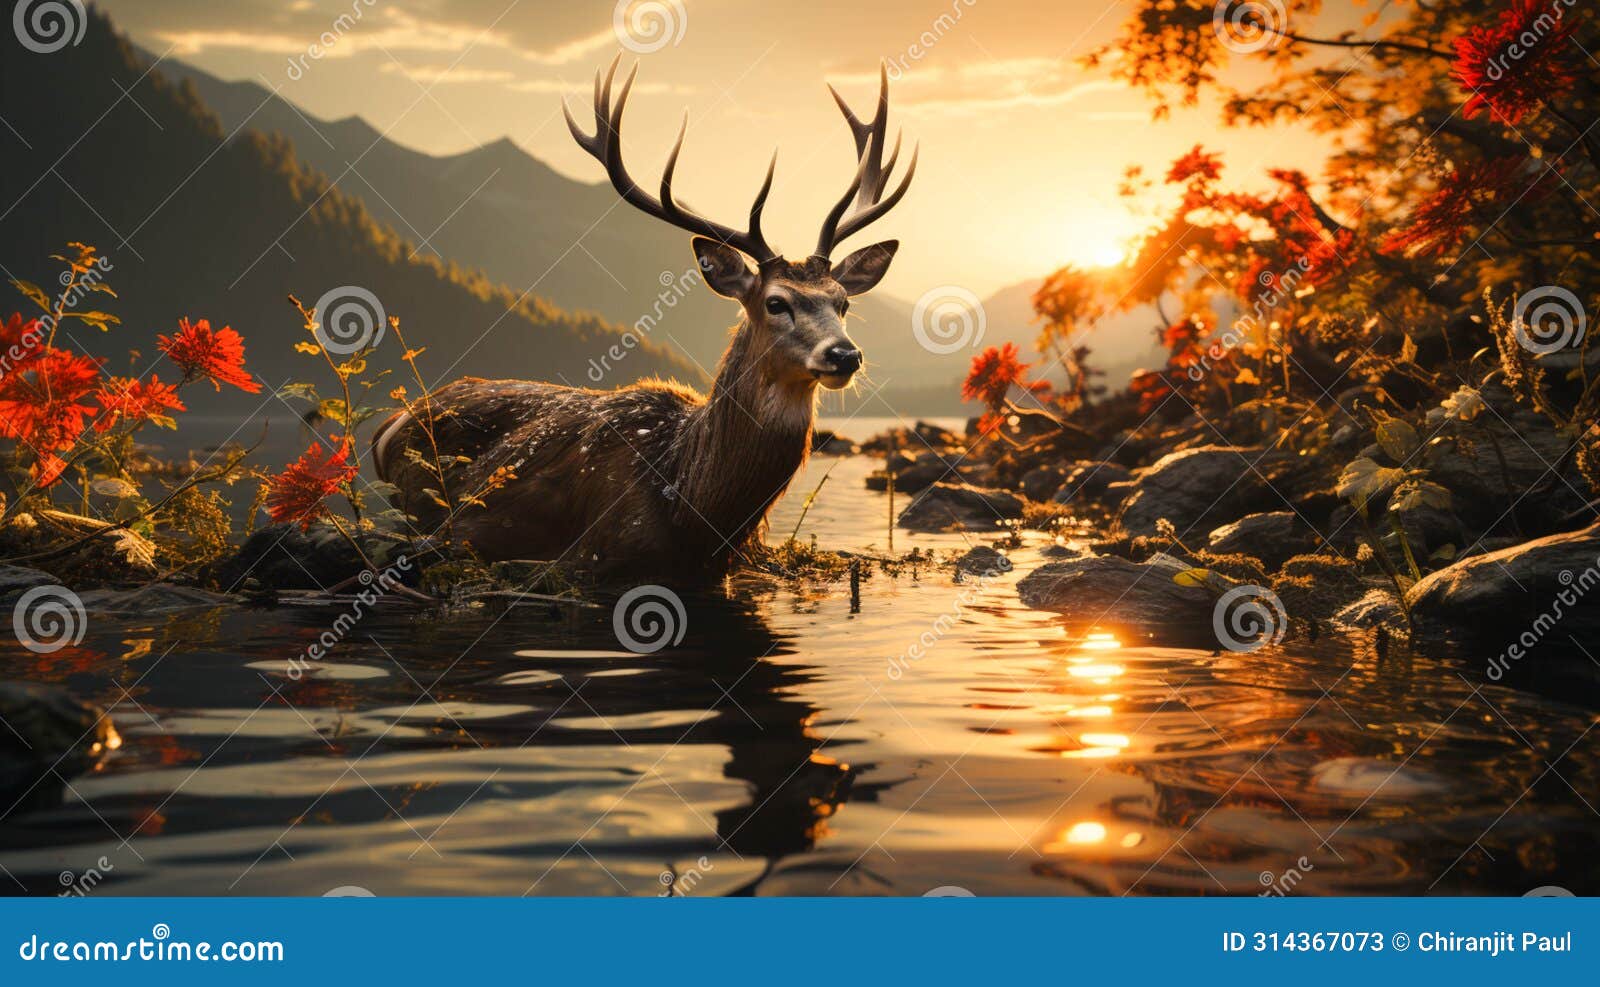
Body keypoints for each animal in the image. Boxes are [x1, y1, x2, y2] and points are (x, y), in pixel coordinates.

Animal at [372, 56, 917, 582]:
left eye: (842, 302)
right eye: (776, 302)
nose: (845, 354)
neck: (690, 501)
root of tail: (391, 424)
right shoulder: (597, 553)